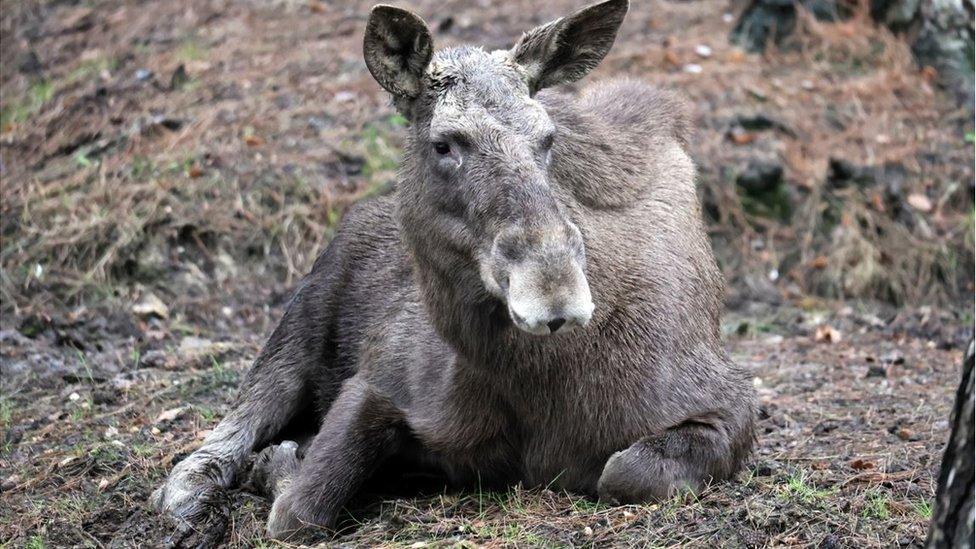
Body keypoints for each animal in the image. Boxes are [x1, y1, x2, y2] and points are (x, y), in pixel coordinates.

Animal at [153, 0, 757, 540]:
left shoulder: (728, 405)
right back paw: (188, 494)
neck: (537, 384)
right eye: (444, 143)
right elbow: (298, 511)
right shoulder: (376, 381)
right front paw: (280, 465)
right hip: (297, 330)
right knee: (225, 433)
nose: (554, 294)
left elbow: (626, 470)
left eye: (548, 137)